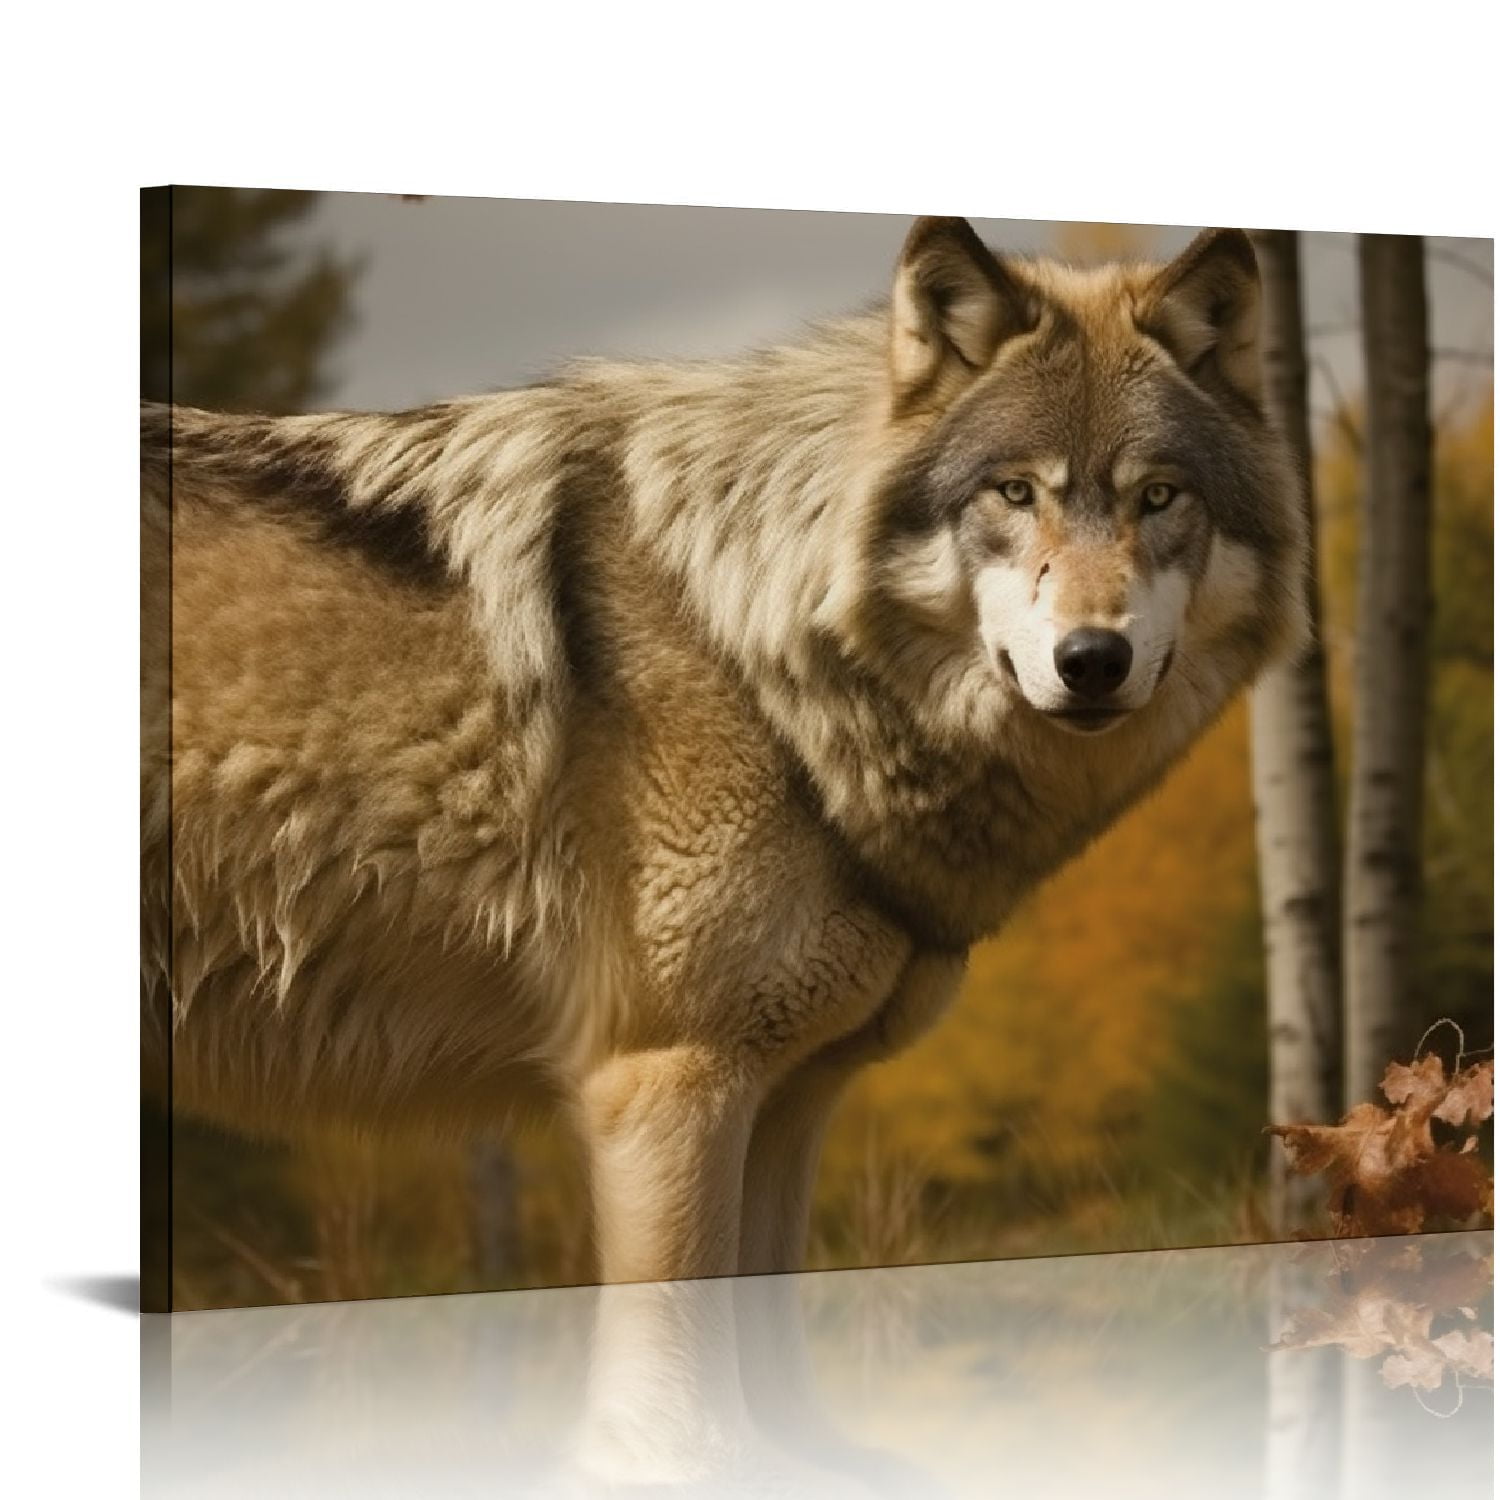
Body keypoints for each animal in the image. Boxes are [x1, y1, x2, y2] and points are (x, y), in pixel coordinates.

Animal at [142, 216, 1306, 1288]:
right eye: (1015, 492)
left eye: (1160, 496)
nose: (1093, 660)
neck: (744, 631)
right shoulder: (667, 1088)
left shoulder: (790, 1102)